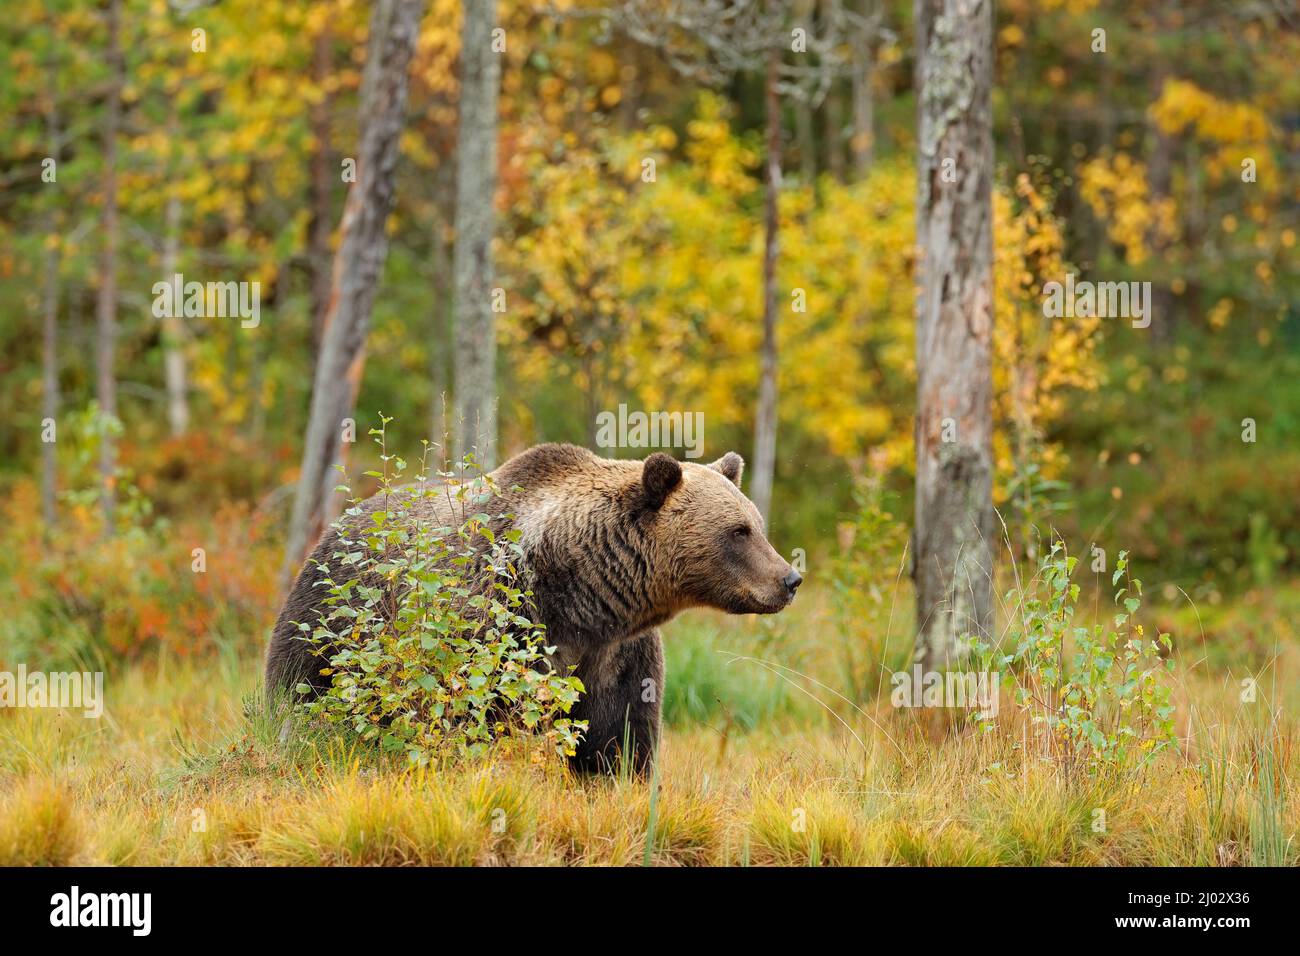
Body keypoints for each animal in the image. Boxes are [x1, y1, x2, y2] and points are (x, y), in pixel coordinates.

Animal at [265, 443, 802, 774]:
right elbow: (474, 715)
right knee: (302, 688)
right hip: (333, 620)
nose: (789, 579)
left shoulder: (619, 655)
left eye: (757, 523)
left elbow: (619, 739)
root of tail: (342, 519)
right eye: (738, 531)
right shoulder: (501, 620)